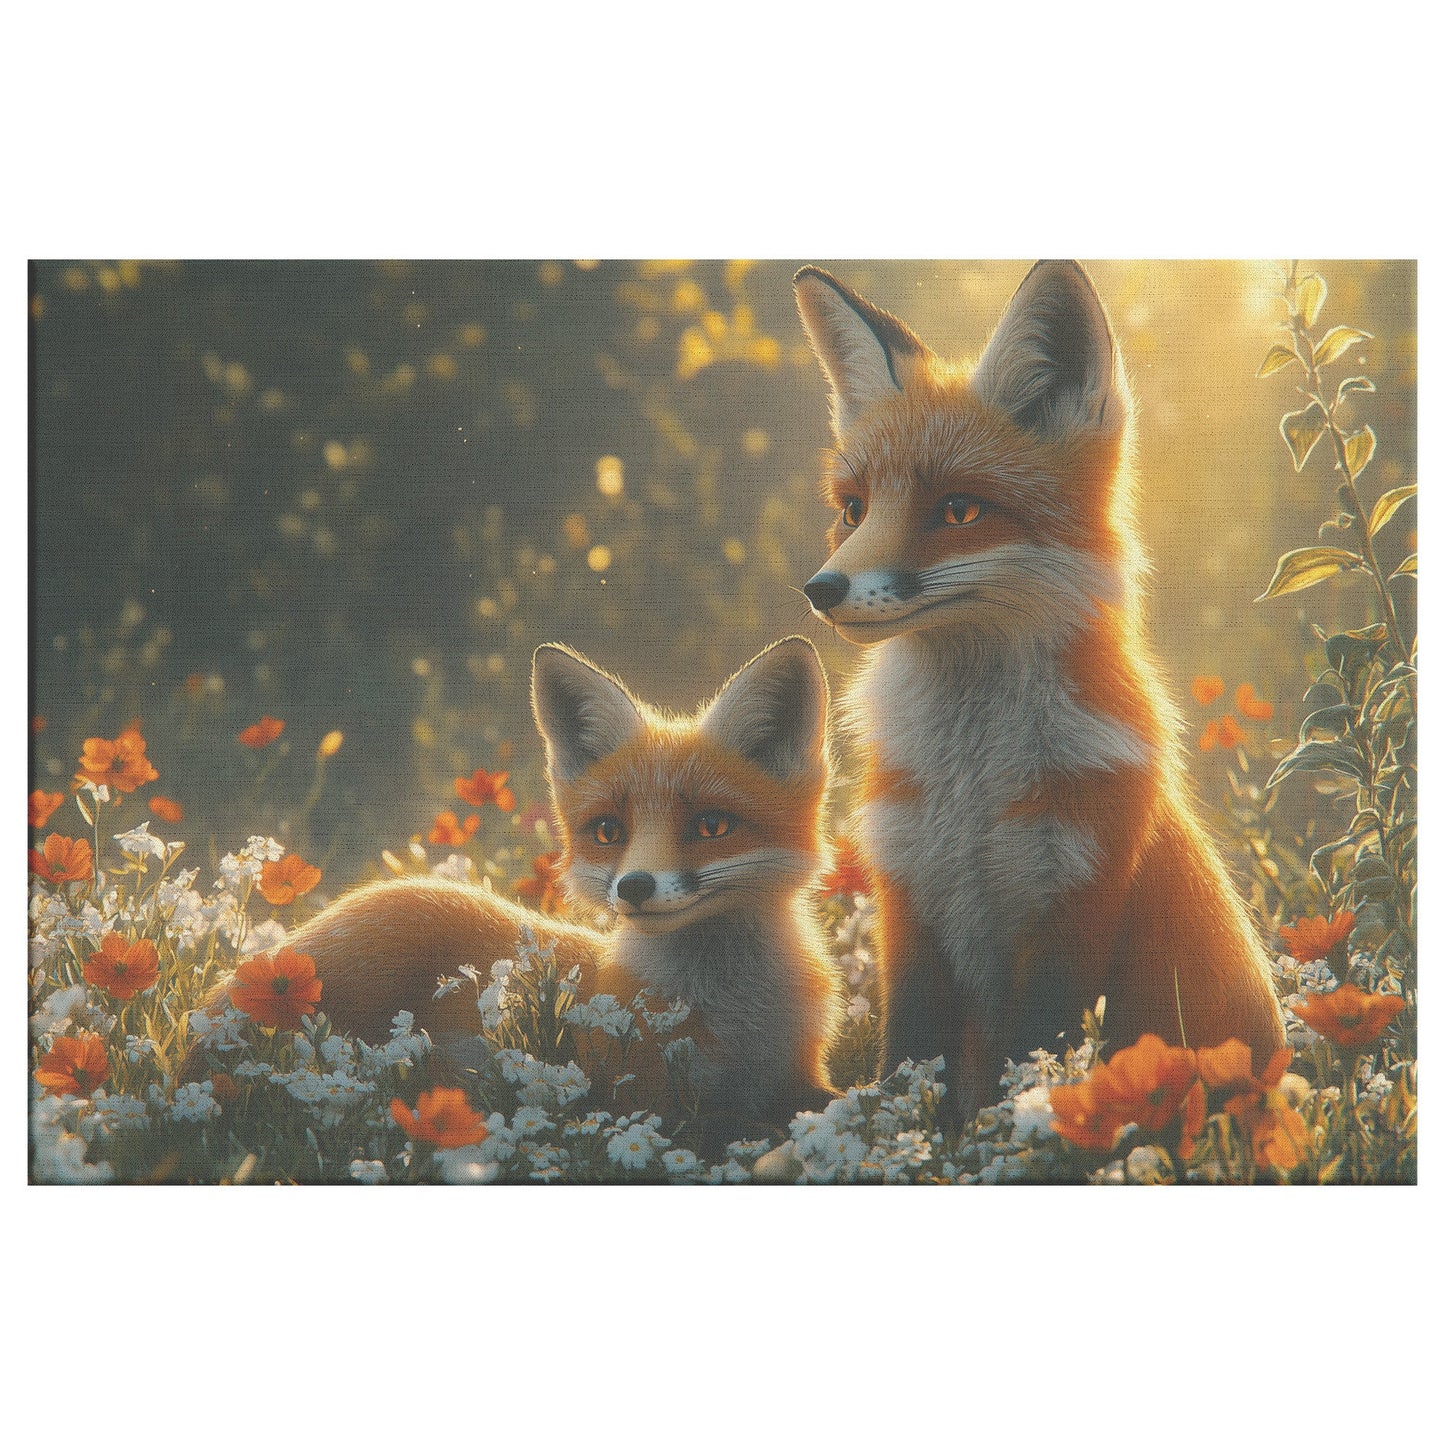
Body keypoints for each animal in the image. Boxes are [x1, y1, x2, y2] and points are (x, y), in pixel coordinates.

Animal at [208, 636, 843, 1133]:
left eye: (712, 826)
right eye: (608, 830)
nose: (634, 887)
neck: (738, 1019)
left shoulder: (801, 1078)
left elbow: (841, 1103)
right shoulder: (649, 1099)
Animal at [793, 260, 1287, 1120]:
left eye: (958, 509)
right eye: (852, 509)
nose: (821, 590)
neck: (969, 785)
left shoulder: (1072, 903)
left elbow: (1033, 1056)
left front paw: (1013, 1131)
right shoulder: (905, 898)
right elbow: (909, 1056)